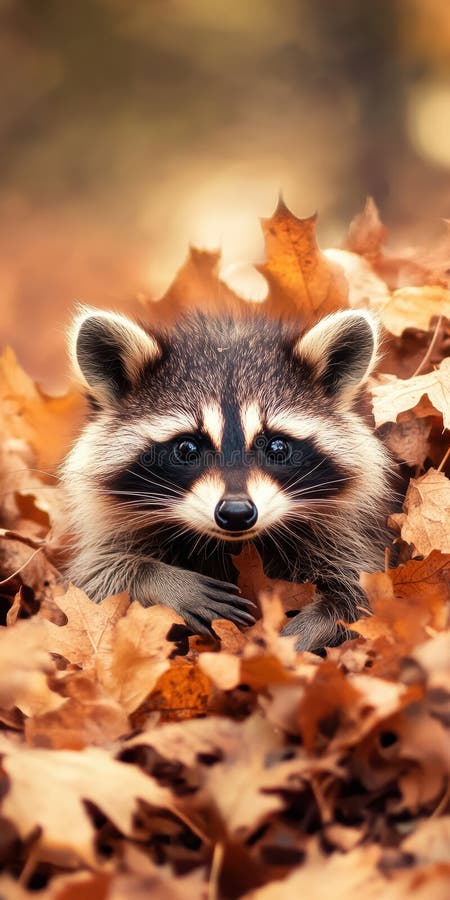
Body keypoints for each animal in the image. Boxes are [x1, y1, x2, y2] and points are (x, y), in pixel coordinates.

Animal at [62, 306, 392, 652]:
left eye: (277, 447)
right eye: (187, 448)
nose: (236, 513)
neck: (230, 545)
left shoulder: (349, 537)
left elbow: (358, 596)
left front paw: (304, 631)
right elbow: (99, 578)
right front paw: (162, 581)